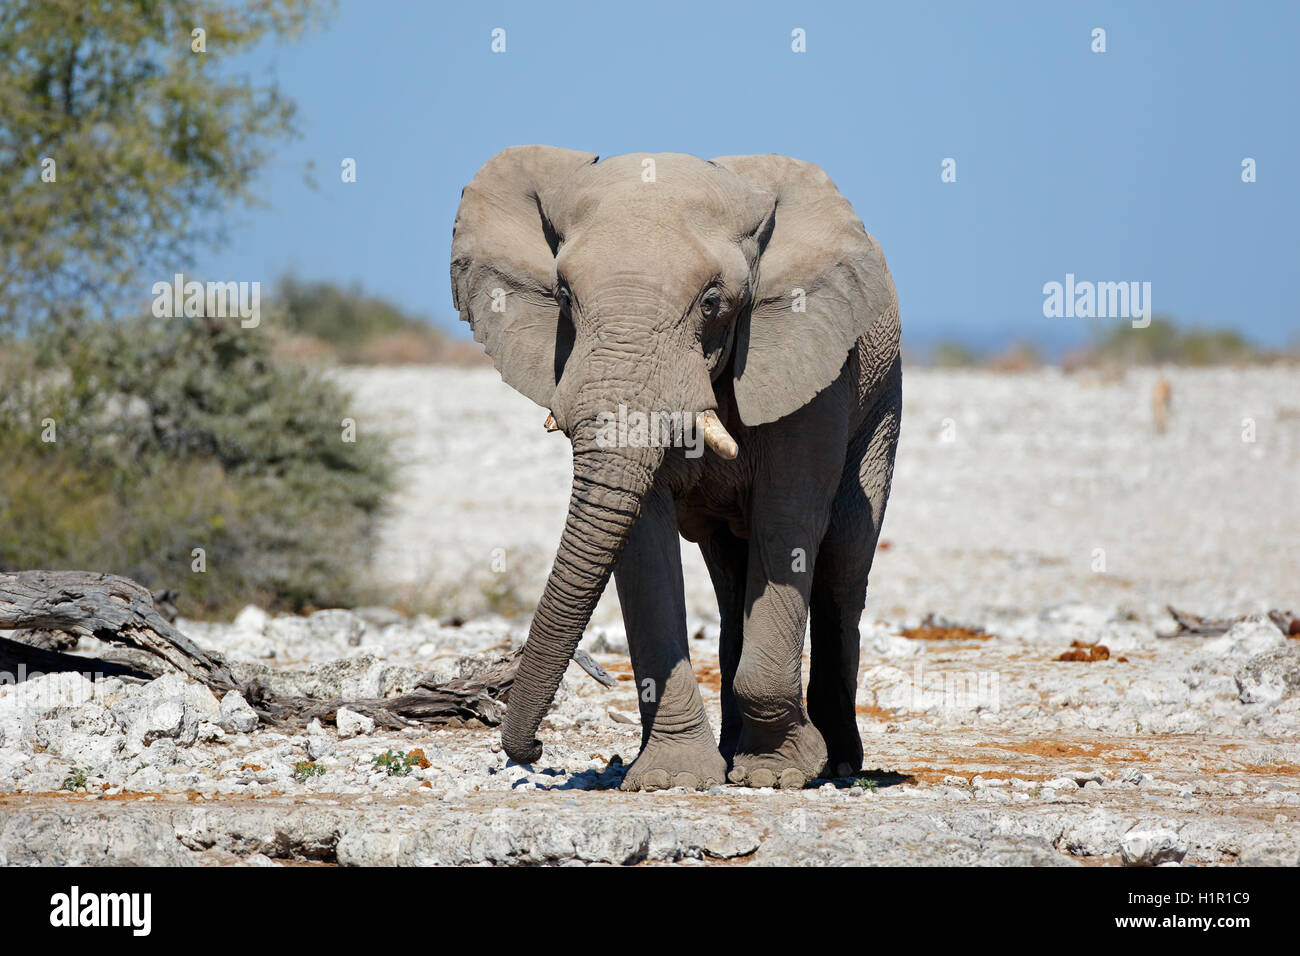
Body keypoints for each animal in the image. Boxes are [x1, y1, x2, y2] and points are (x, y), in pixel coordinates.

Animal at [450, 147, 901, 790]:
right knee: (730, 572)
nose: (529, 750)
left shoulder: (810, 362)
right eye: (562, 296)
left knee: (843, 559)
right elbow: (642, 539)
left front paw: (779, 775)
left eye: (712, 303)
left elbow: (788, 521)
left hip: (881, 397)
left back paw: (838, 763)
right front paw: (674, 777)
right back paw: (733, 751)